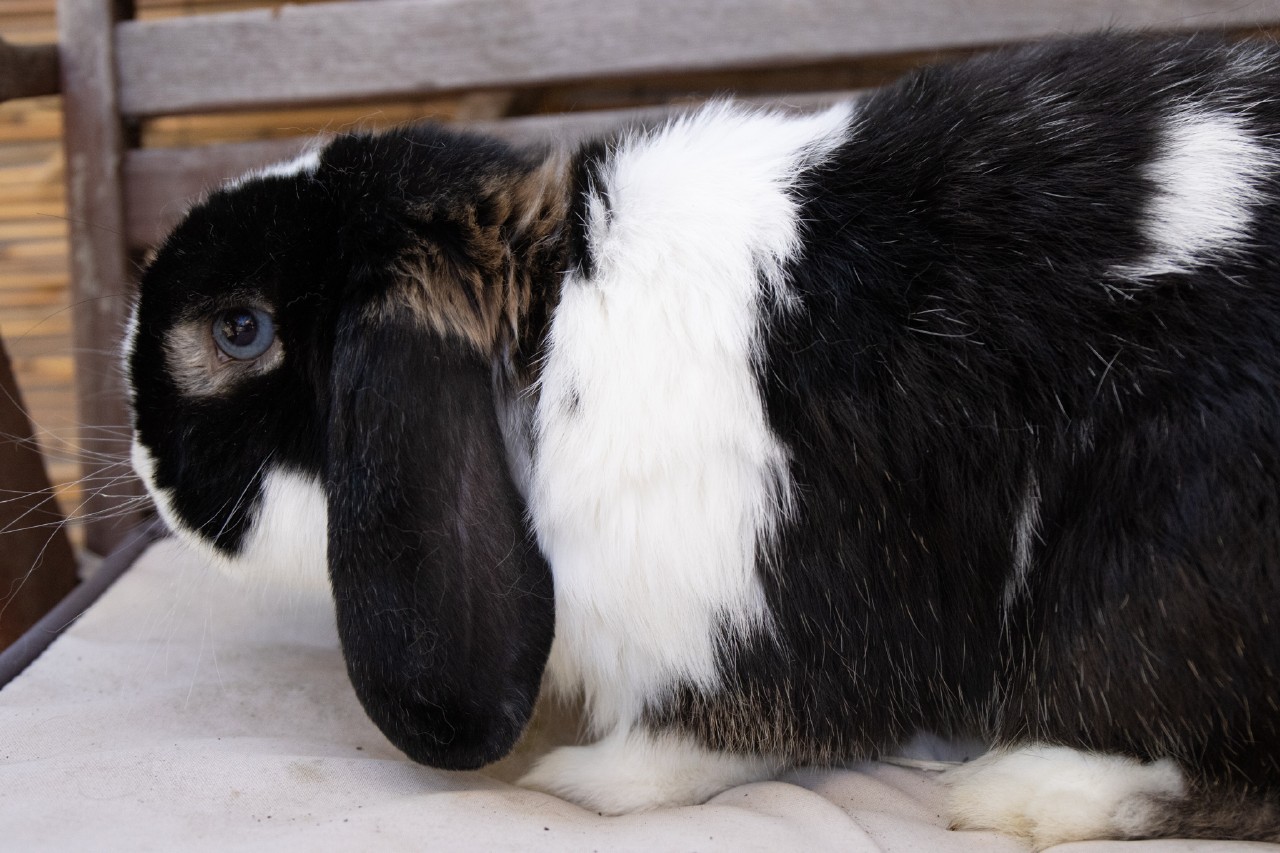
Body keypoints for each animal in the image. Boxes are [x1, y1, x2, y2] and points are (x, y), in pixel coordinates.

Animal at [125, 32, 1280, 847]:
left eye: (239, 329)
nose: (139, 459)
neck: (549, 323)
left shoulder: (748, 593)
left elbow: (706, 739)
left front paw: (586, 780)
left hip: (1149, 558)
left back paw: (1031, 790)